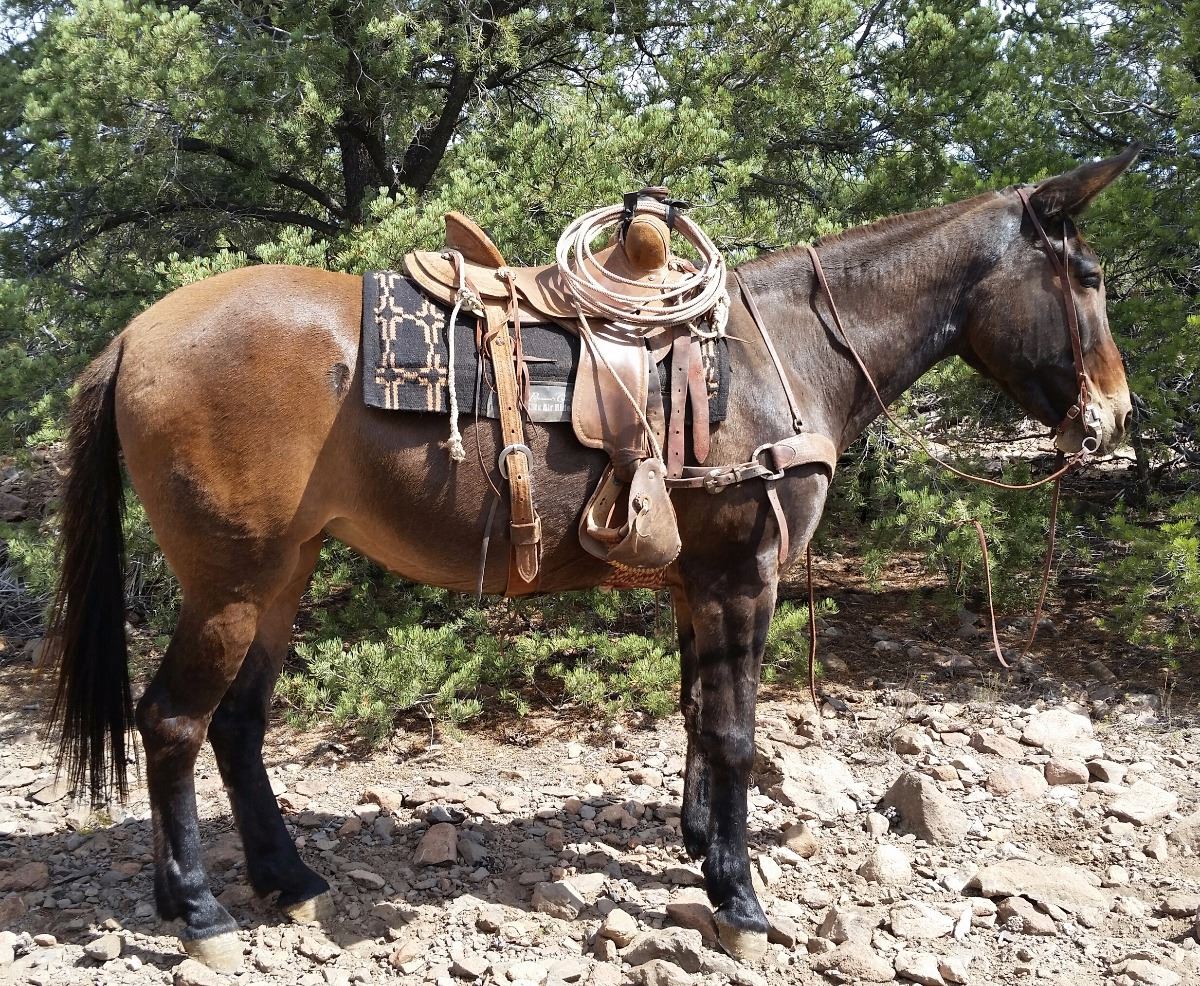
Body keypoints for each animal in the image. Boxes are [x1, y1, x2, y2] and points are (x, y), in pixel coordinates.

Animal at [46, 148, 1136, 969]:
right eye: (1087, 279)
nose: (1114, 417)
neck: (784, 353)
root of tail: (136, 333)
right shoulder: (743, 576)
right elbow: (736, 731)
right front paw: (740, 899)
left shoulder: (699, 584)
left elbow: (697, 712)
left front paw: (701, 845)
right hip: (231, 581)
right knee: (173, 722)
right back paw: (200, 912)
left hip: (286, 571)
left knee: (236, 725)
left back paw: (288, 880)